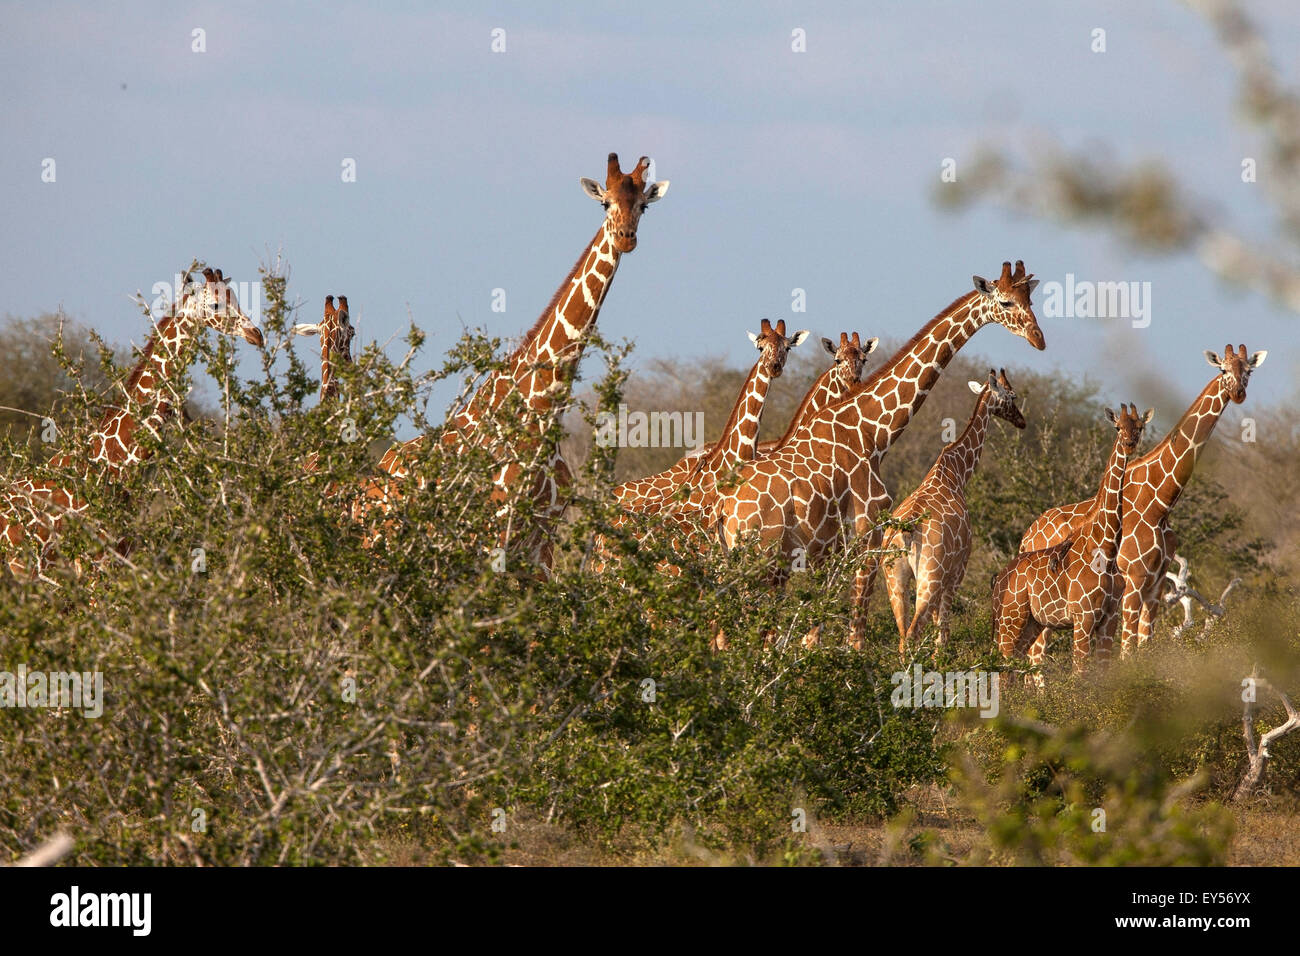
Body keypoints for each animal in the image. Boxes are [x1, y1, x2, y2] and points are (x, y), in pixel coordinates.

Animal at [1, 267, 264, 577]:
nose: (256, 335)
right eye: (214, 304)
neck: (118, 462)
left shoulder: (122, 551)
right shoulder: (95, 558)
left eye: (236, 299)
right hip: (24, 564)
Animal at [366, 153, 669, 570]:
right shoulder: (496, 527)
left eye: (642, 206)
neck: (542, 406)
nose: (626, 237)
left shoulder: (542, 540)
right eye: (605, 203)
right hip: (384, 544)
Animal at [883, 368, 1026, 658]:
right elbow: (943, 632)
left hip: (894, 577)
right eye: (1012, 395)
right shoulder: (957, 570)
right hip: (930, 576)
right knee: (915, 631)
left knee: (903, 633)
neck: (956, 472)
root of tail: (907, 530)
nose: (1022, 421)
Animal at [992, 403, 1152, 676]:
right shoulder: (1083, 616)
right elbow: (1080, 672)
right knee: (1004, 665)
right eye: (1117, 427)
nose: (1129, 444)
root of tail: (998, 580)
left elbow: (1102, 671)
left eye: (1139, 427)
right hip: (1011, 618)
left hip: (1032, 623)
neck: (1106, 548)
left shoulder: (1110, 618)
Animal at [1018, 344, 1266, 656]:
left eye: (1249, 371)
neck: (1161, 503)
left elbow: (1144, 646)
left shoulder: (1156, 586)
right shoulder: (1133, 581)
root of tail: (1026, 538)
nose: (1238, 393)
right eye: (1223, 369)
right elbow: (1126, 651)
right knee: (1036, 655)